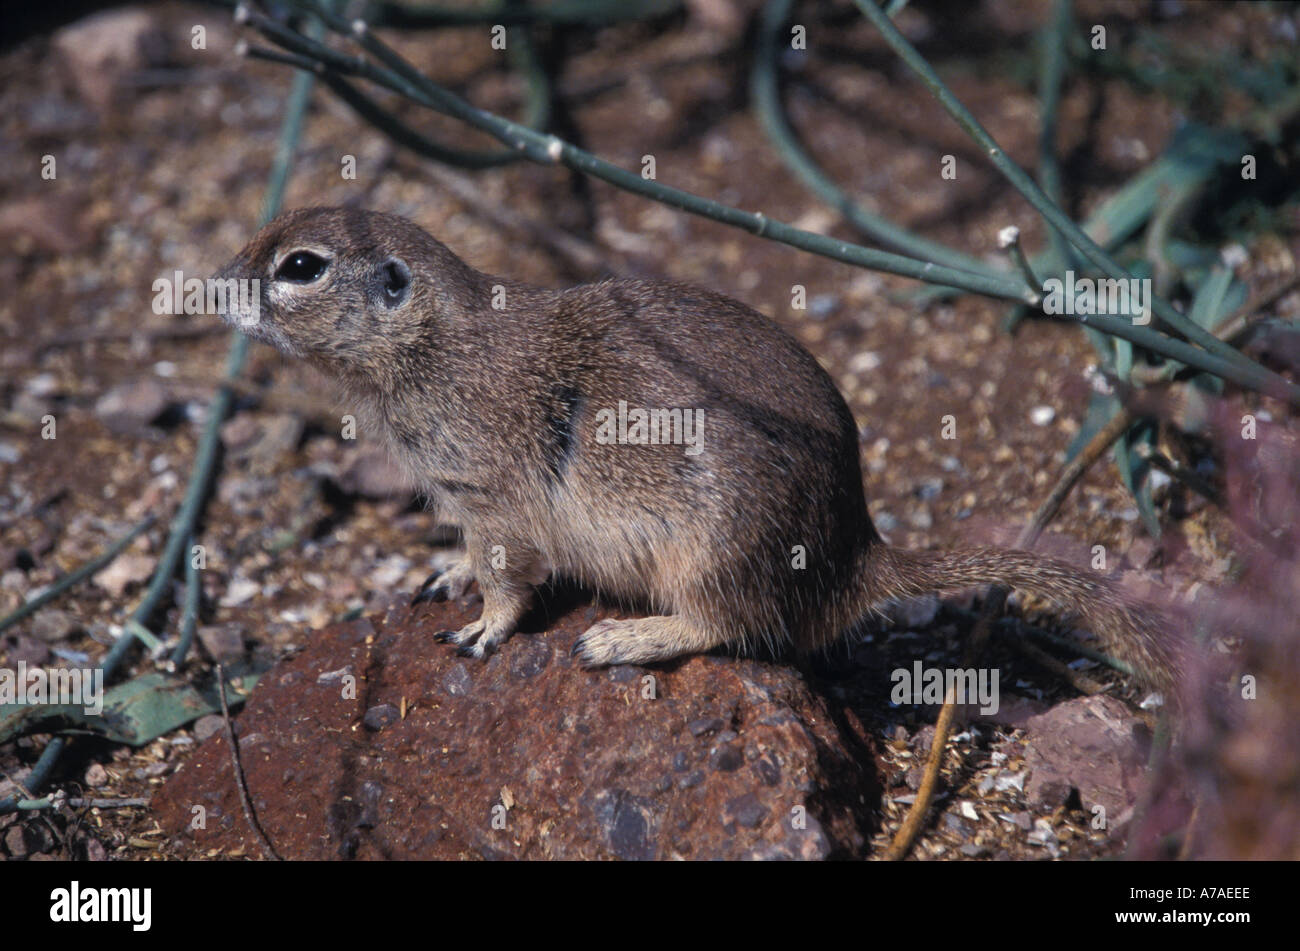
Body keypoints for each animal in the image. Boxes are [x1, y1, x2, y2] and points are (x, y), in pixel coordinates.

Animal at [213, 207, 1184, 696]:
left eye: (300, 266)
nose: (212, 284)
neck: (431, 348)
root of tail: (857, 557)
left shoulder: (491, 497)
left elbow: (509, 582)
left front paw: (483, 626)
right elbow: (468, 559)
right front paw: (442, 576)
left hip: (707, 554)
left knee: (727, 627)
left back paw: (623, 638)